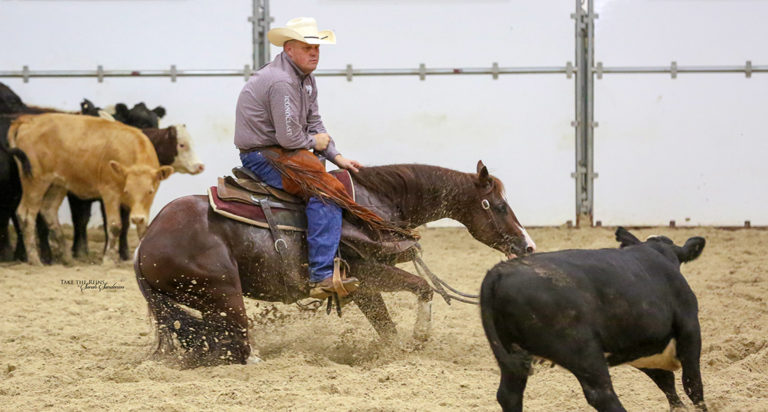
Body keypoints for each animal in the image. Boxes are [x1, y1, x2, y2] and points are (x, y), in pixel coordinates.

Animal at [134, 160, 536, 366]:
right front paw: (420, 337)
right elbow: (423, 287)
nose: (528, 245)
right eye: (499, 206)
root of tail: (144, 245)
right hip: (225, 294)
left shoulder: (361, 287)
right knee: (240, 345)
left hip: (209, 303)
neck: (373, 203)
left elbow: (385, 325)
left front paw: (394, 352)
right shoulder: (368, 272)